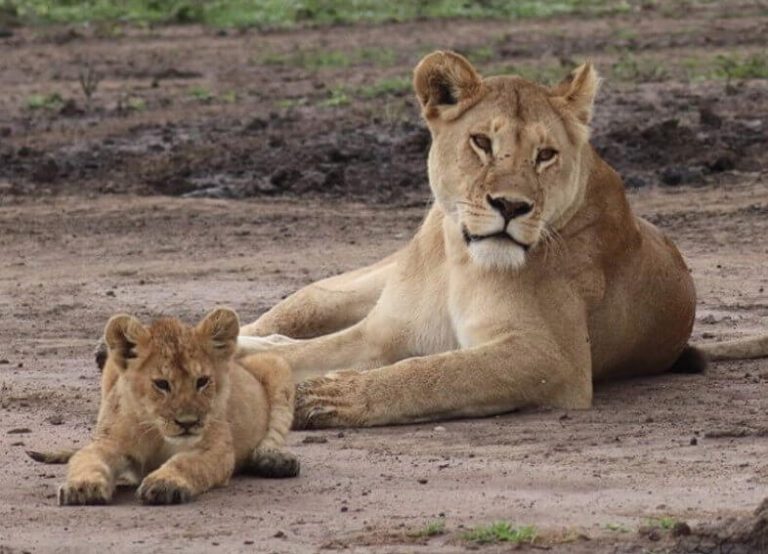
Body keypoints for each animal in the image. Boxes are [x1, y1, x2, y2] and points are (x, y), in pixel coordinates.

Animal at [31, 308, 299, 505]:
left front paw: (164, 483)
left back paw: (274, 460)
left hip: (277, 364)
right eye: (161, 384)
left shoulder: (217, 450)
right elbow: (86, 459)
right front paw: (81, 487)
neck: (158, 432)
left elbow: (185, 463)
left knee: (273, 433)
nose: (188, 423)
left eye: (202, 381)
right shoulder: (107, 442)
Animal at [233, 51, 768, 429]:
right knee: (295, 312)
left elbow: (435, 374)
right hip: (353, 287)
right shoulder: (383, 333)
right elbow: (298, 356)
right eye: (481, 142)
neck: (460, 259)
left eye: (545, 155)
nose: (510, 206)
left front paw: (331, 395)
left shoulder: (552, 356)